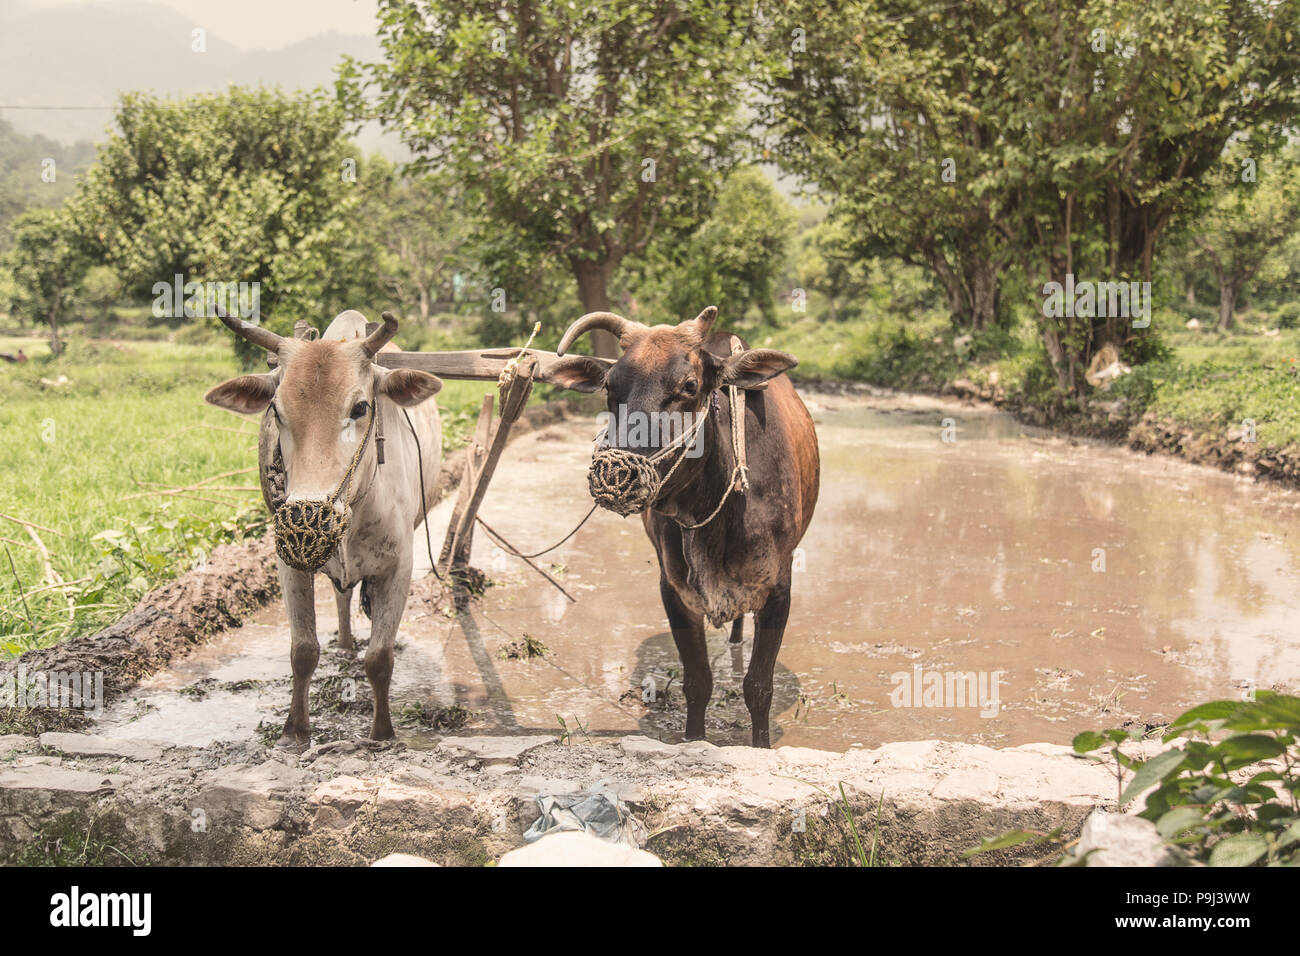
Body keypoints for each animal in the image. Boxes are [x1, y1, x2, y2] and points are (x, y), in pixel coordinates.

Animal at [204, 310, 442, 750]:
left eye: (361, 407)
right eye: (276, 410)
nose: (309, 515)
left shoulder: (398, 568)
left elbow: (380, 658)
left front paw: (382, 732)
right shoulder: (289, 565)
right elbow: (302, 651)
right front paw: (294, 731)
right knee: (342, 598)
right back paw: (345, 645)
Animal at [546, 306, 819, 747]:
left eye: (689, 385)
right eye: (610, 387)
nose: (613, 472)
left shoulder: (779, 589)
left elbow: (758, 687)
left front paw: (759, 745)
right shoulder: (673, 590)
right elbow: (698, 683)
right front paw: (694, 741)